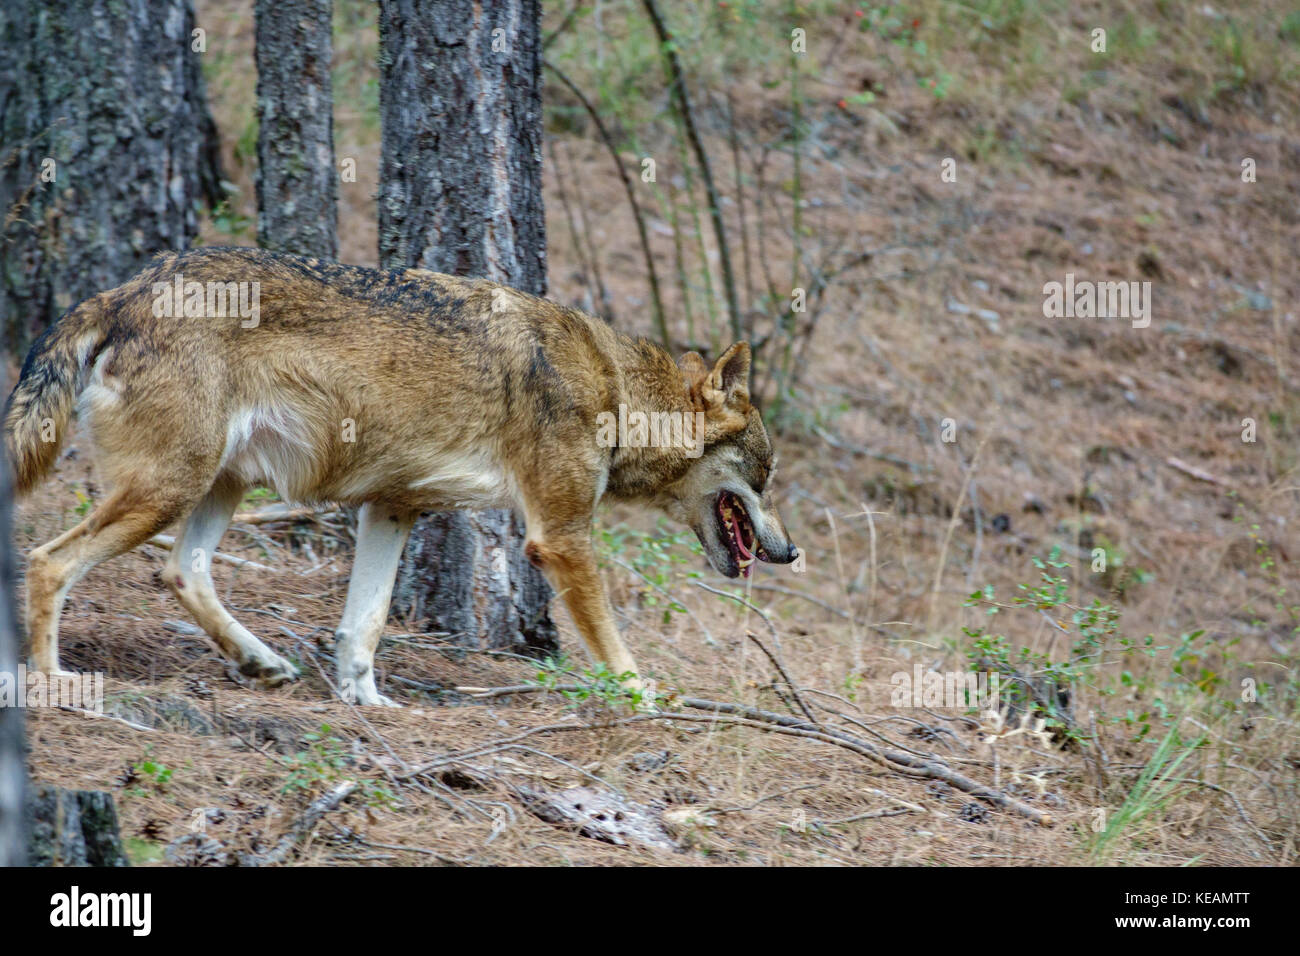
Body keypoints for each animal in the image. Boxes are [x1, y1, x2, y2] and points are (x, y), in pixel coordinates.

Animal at [5, 247, 798, 705]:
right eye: (765, 475)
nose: (790, 552)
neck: (615, 390)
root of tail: (123, 291)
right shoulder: (561, 538)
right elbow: (614, 649)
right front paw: (645, 699)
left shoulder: (391, 509)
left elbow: (365, 626)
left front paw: (368, 707)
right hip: (168, 490)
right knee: (47, 562)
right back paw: (53, 681)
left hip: (215, 489)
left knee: (182, 572)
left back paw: (261, 663)